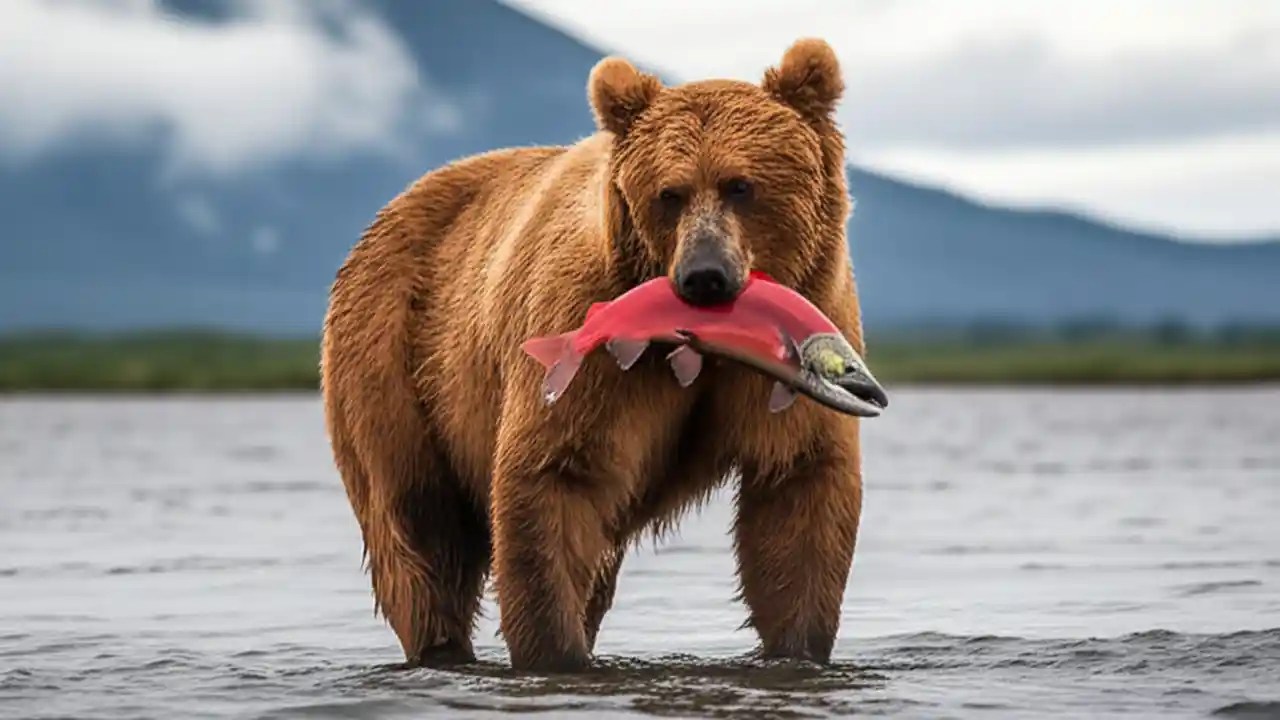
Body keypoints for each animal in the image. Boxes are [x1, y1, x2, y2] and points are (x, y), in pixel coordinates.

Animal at [321, 37, 867, 672]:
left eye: (741, 185)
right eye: (669, 194)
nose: (704, 275)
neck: (710, 349)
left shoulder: (810, 326)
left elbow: (798, 490)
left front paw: (797, 649)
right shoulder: (589, 334)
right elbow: (554, 477)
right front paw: (554, 652)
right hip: (391, 359)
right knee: (420, 533)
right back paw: (440, 642)